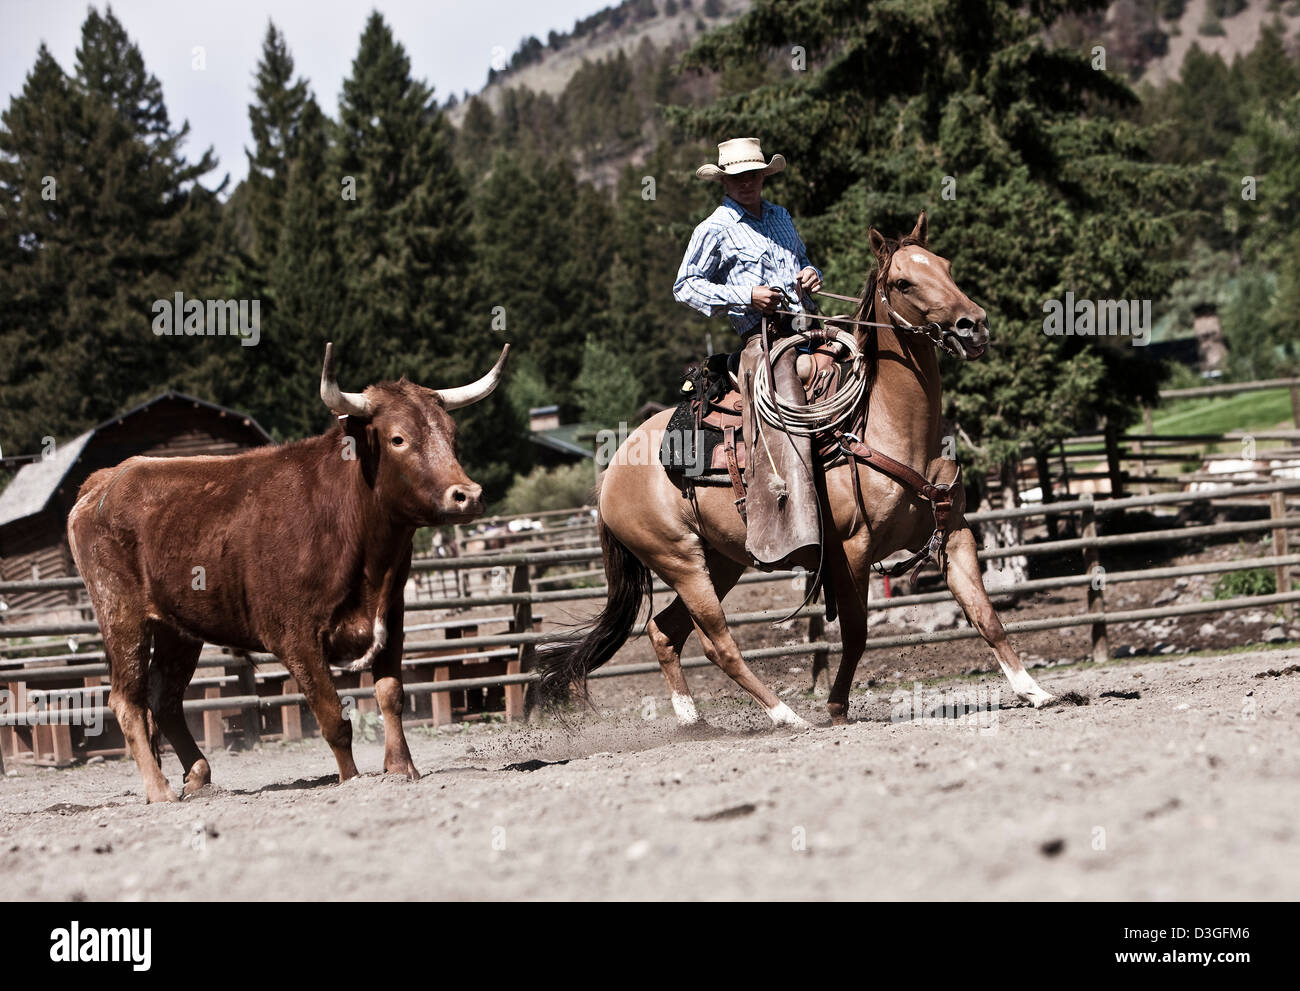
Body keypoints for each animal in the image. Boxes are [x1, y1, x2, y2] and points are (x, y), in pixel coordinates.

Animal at [67, 342, 509, 802]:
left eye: (453, 436)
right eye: (398, 438)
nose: (467, 495)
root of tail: (105, 480)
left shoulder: (392, 619)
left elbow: (391, 696)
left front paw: (401, 768)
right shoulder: (296, 636)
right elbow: (334, 717)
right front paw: (352, 779)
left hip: (178, 630)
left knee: (165, 699)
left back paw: (199, 776)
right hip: (122, 617)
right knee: (128, 701)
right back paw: (160, 790)